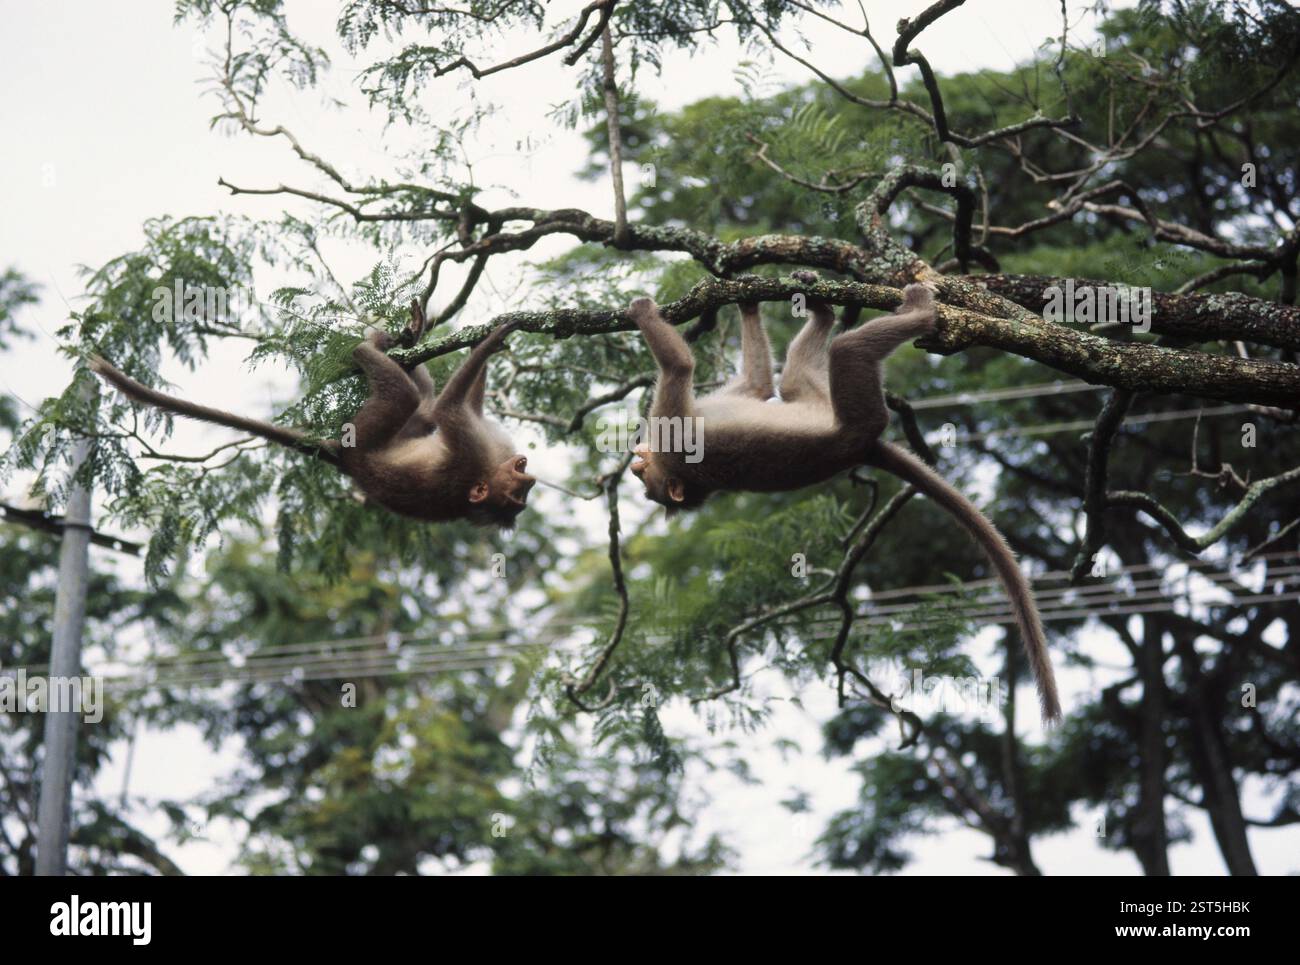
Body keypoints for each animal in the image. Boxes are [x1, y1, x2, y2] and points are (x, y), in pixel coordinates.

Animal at [89, 299, 536, 528]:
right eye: (522, 489)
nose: (529, 478)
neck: (482, 475)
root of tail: (346, 459)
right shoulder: (476, 447)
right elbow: (459, 406)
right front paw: (493, 339)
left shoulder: (469, 451)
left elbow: (451, 409)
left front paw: (492, 339)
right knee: (422, 410)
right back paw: (392, 339)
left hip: (365, 432)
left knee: (406, 399)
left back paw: (364, 348)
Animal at [626, 278, 1062, 723]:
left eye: (645, 481)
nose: (636, 468)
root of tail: (863, 450)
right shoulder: (680, 442)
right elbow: (682, 368)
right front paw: (644, 311)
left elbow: (753, 384)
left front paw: (739, 303)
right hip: (858, 417)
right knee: (847, 351)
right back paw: (917, 313)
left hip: (820, 400)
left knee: (797, 378)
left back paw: (832, 312)